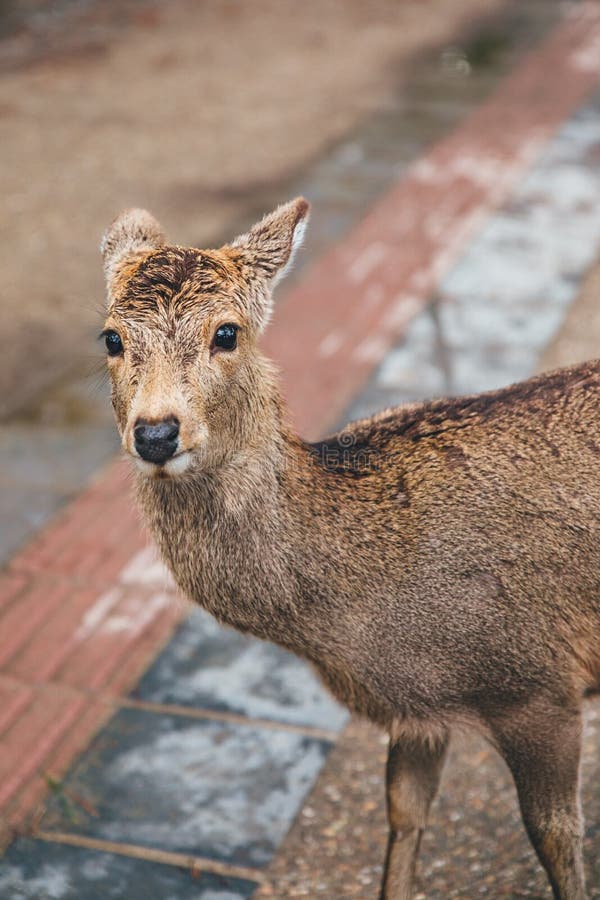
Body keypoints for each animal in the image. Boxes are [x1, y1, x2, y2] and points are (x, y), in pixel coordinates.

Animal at [100, 197, 600, 899]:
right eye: (111, 339)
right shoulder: (419, 712)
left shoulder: (539, 681)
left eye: (227, 333)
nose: (156, 433)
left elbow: (554, 834)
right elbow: (403, 816)